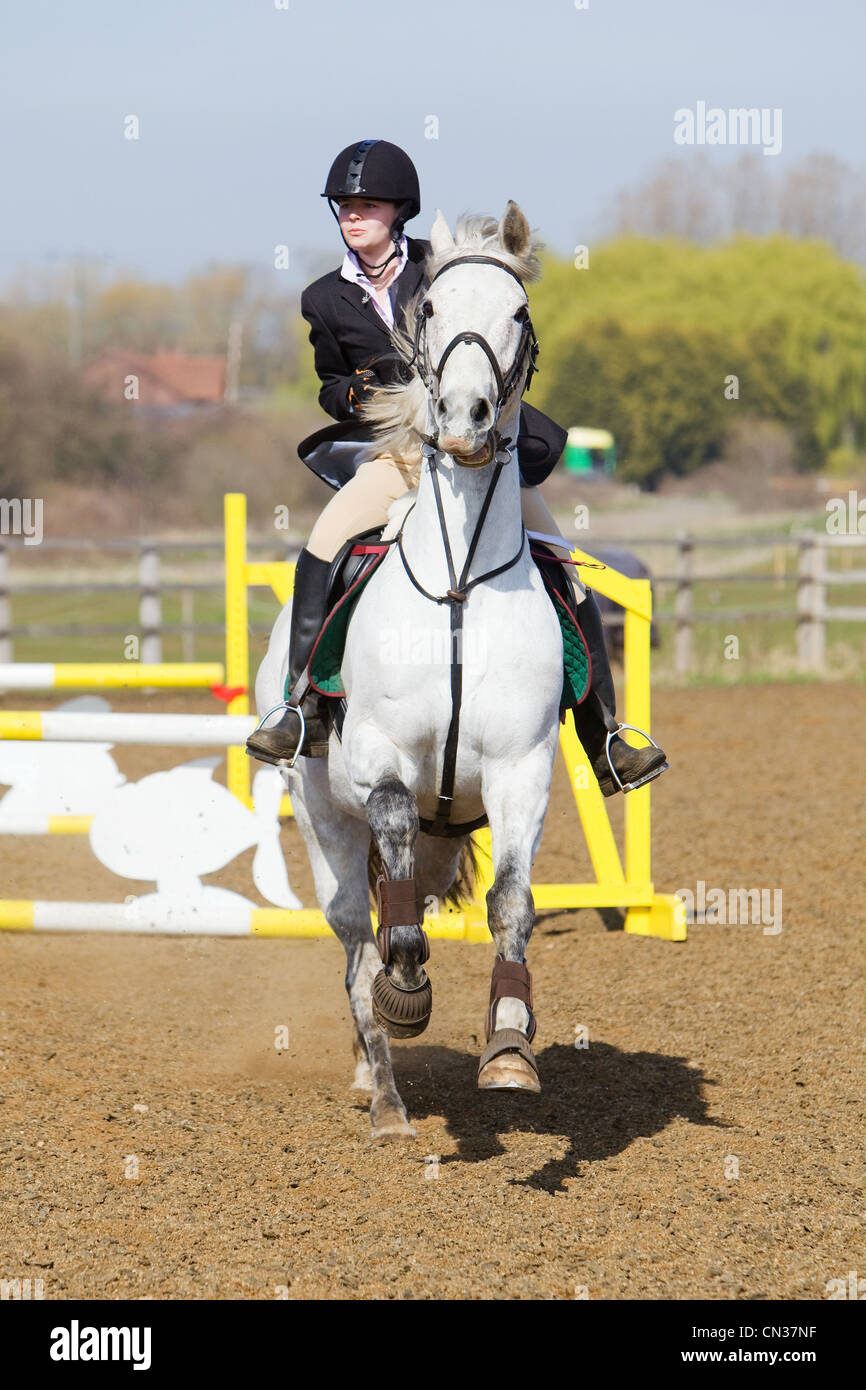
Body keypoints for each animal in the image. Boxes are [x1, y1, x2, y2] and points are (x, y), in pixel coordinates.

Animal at [255, 202, 568, 1141]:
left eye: (518, 313)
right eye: (429, 309)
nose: (466, 419)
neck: (460, 579)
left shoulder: (521, 770)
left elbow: (512, 904)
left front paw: (509, 1048)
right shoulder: (376, 758)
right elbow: (389, 844)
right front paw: (407, 992)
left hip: (446, 830)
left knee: (406, 896)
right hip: (321, 815)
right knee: (356, 936)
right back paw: (384, 1090)